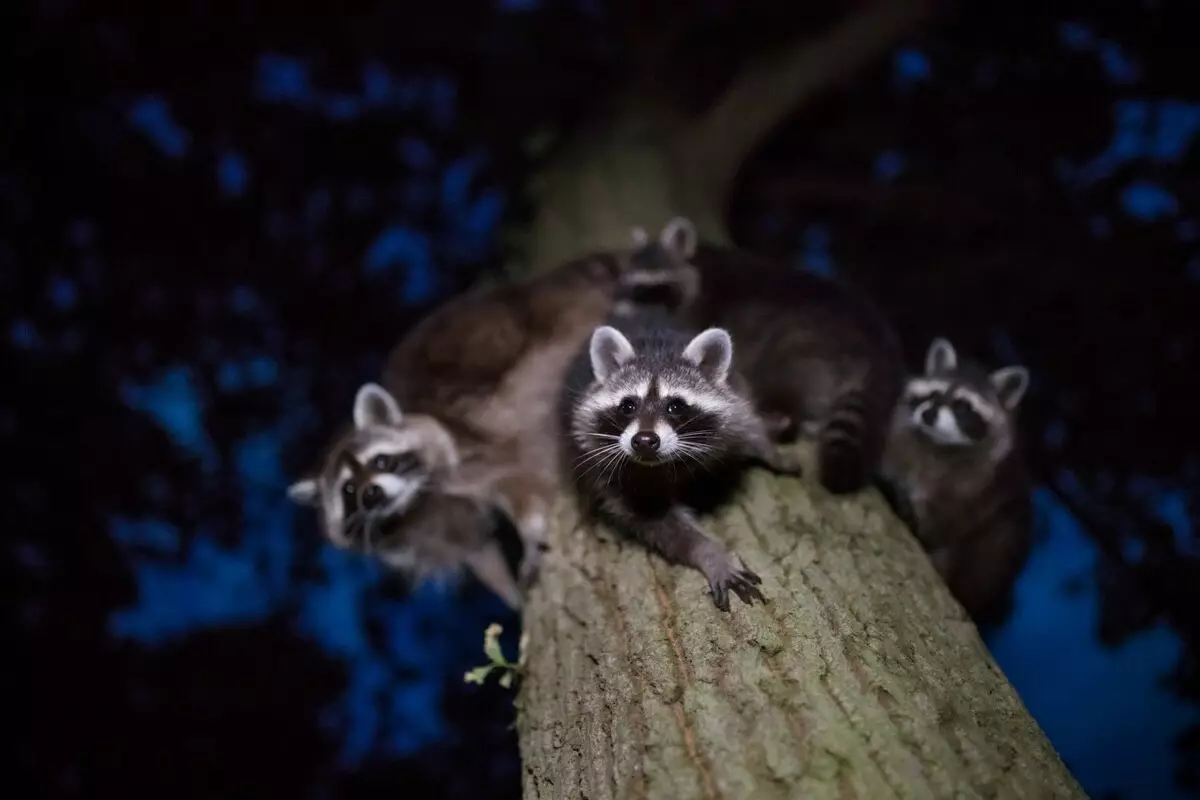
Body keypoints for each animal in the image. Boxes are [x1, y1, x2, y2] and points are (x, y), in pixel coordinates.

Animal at [285, 381, 525, 606]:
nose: (372, 492)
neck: (414, 508)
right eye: (349, 489)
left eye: (380, 461)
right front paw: (514, 597)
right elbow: (482, 555)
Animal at [561, 309, 806, 609]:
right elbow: (662, 524)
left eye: (675, 406)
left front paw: (769, 449)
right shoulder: (618, 475)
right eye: (628, 406)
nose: (644, 440)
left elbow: (747, 422)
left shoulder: (734, 399)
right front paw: (711, 554)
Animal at [614, 215, 902, 496]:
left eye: (652, 288)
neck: (698, 262)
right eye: (631, 287)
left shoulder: (698, 310)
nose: (622, 311)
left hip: (800, 345)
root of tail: (875, 351)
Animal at [878, 338, 1036, 623]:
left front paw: (917, 521)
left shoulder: (982, 489)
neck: (938, 444)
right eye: (932, 395)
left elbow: (944, 525)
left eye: (962, 406)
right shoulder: (902, 442)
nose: (928, 414)